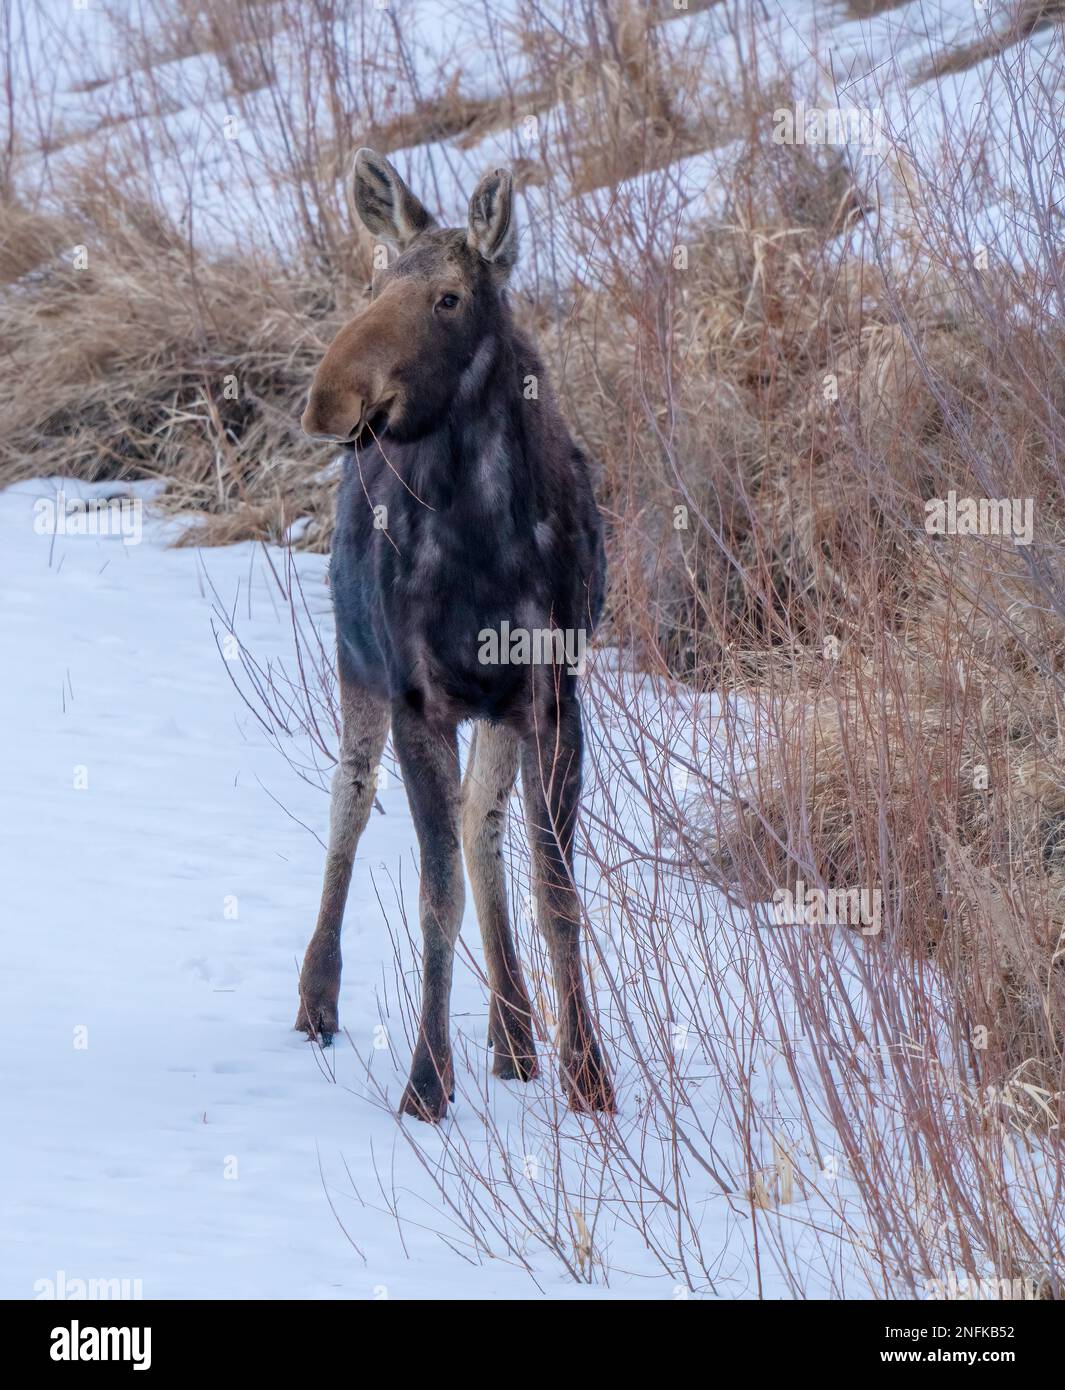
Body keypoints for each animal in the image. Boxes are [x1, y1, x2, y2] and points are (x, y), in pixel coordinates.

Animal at [295, 148, 614, 1122]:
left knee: (481, 824)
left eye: (447, 297)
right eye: (372, 282)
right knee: (348, 799)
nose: (330, 397)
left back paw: (515, 1035)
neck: (480, 541)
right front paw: (425, 1085)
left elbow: (556, 893)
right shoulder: (416, 698)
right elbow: (434, 899)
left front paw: (590, 1073)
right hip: (354, 665)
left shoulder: (551, 695)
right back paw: (317, 997)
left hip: (497, 709)